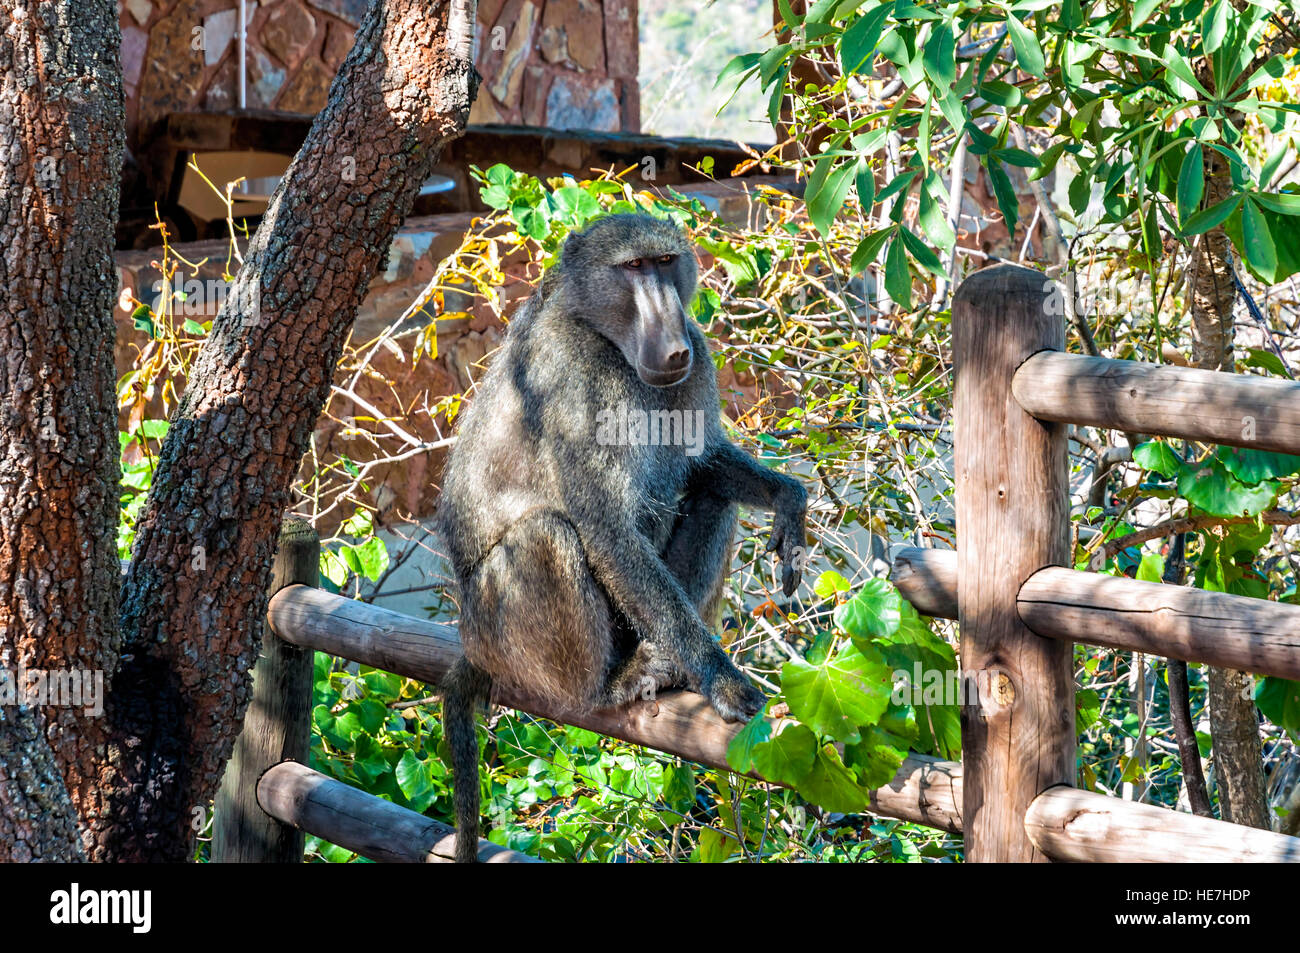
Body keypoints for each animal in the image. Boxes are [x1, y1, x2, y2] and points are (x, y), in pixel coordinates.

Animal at [435, 213, 807, 862]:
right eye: (631, 269)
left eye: (664, 263)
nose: (672, 341)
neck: (606, 339)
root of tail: (471, 643)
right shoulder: (567, 374)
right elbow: (604, 526)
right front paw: (721, 679)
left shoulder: (697, 360)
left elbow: (702, 466)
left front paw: (787, 497)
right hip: (498, 632)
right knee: (546, 532)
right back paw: (609, 685)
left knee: (713, 501)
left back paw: (665, 664)